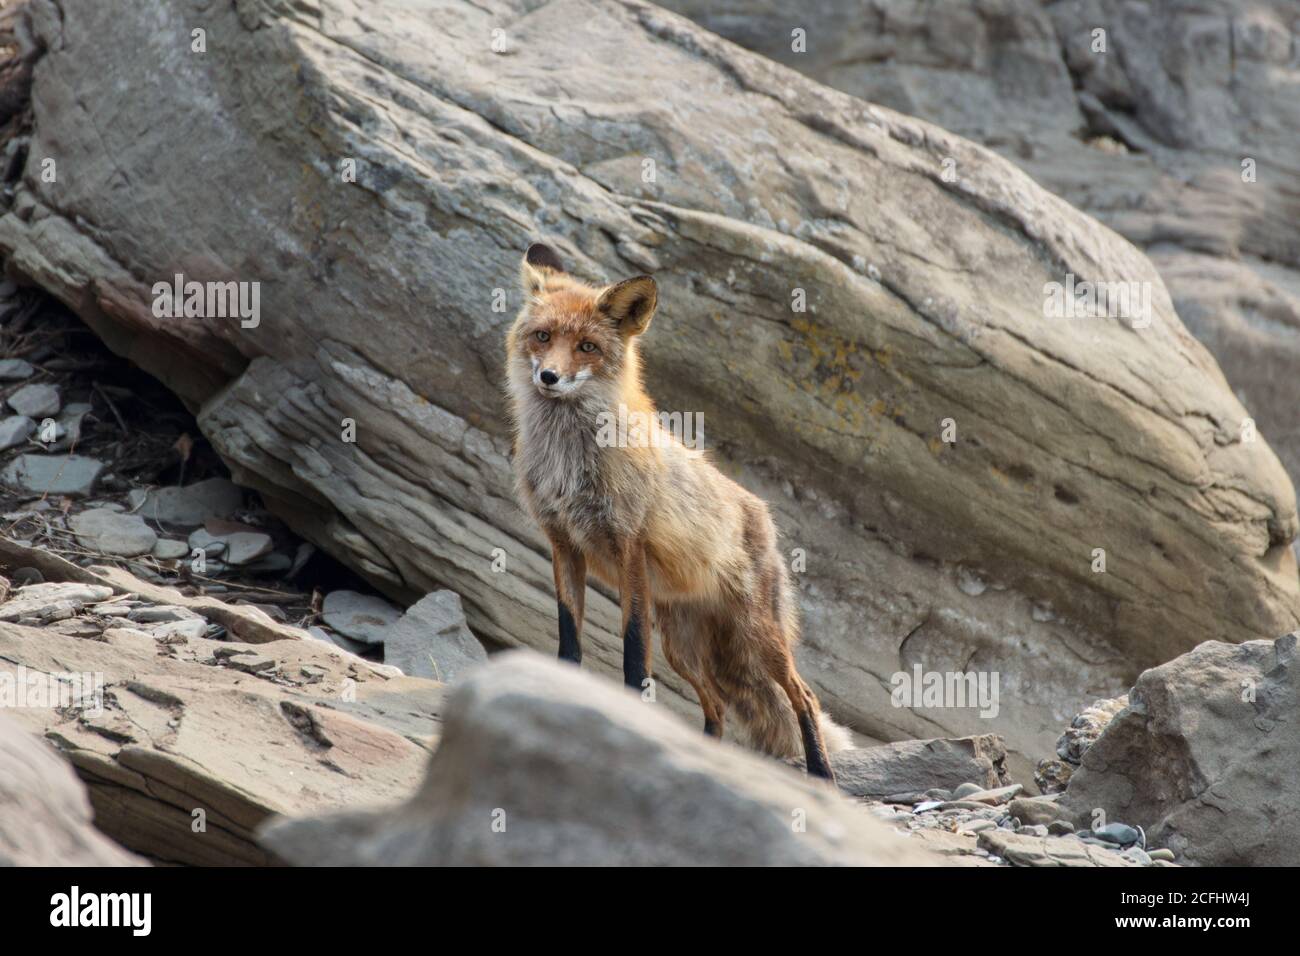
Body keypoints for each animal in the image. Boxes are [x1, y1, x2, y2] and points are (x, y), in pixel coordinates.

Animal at [505, 243, 851, 780]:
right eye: (543, 336)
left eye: (587, 346)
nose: (549, 377)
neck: (570, 457)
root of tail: (763, 514)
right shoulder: (564, 546)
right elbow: (568, 642)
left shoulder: (628, 549)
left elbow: (631, 657)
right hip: (682, 648)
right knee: (717, 705)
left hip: (757, 636)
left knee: (804, 696)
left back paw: (822, 774)